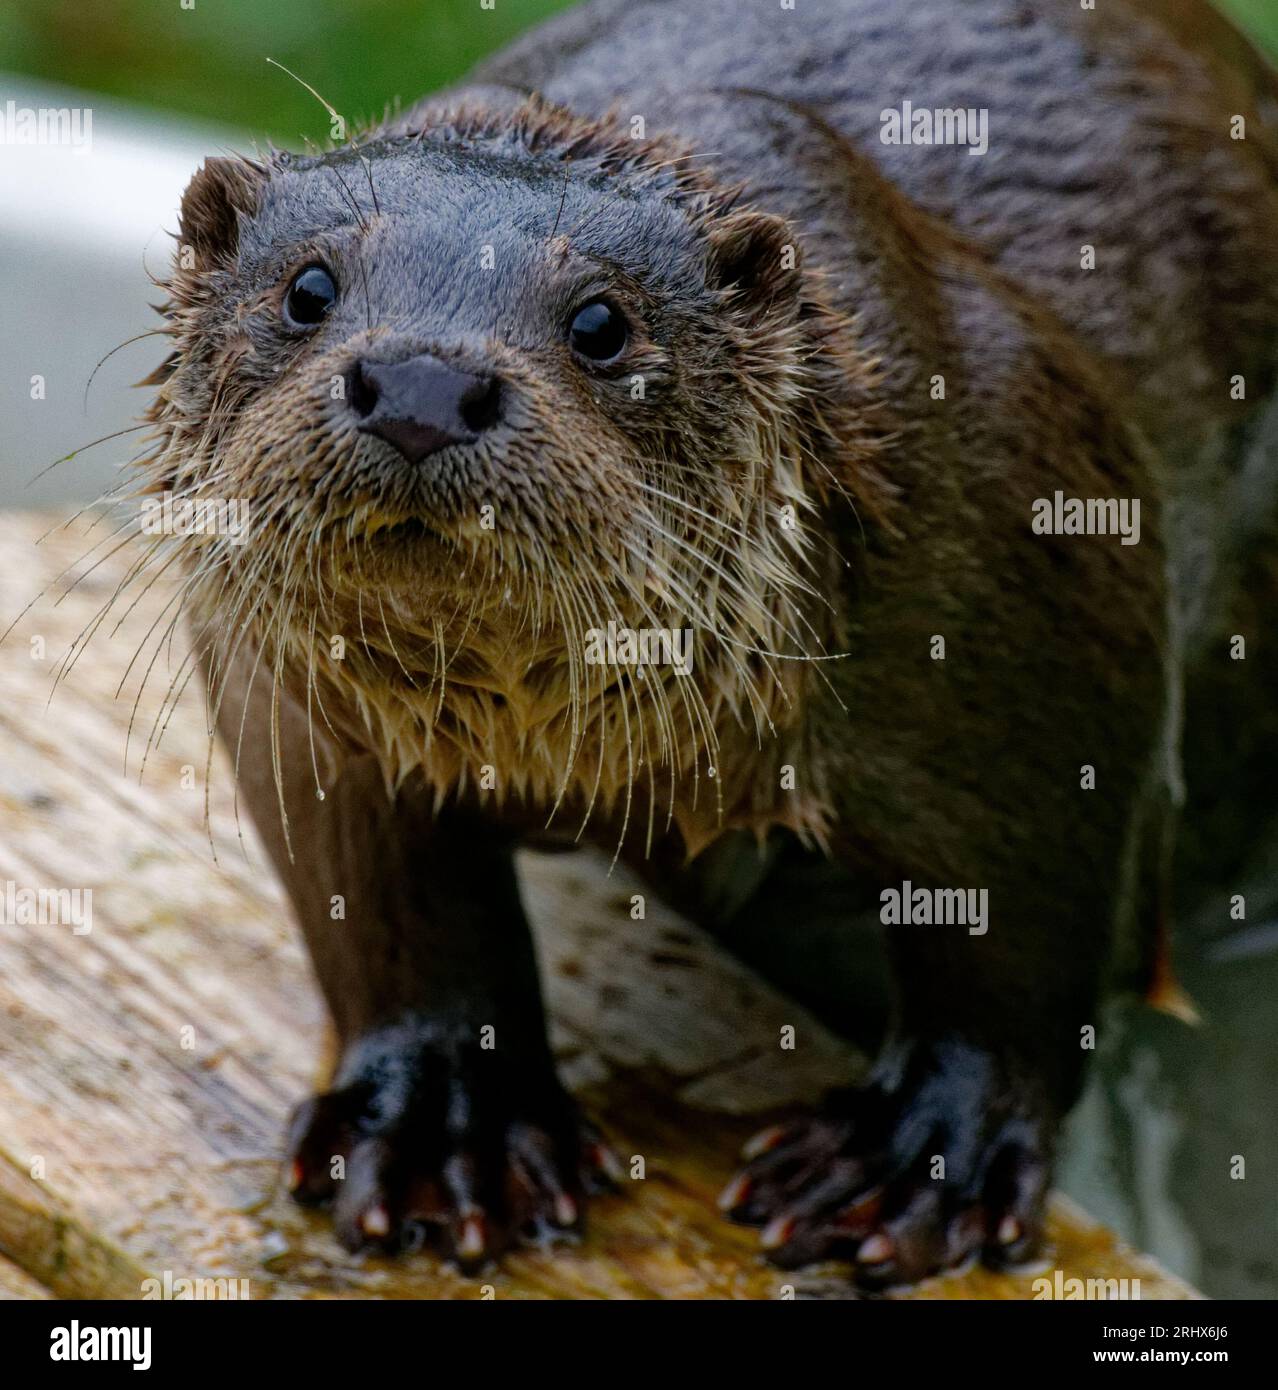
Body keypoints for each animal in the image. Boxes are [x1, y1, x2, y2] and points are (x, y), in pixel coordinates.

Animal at [141, 0, 1278, 1287]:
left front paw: (916, 1153)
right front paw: (439, 1123)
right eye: (309, 287)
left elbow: (1017, 936)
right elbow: (389, 908)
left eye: (601, 322)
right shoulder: (298, 713)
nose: (422, 383)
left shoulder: (1037, 551)